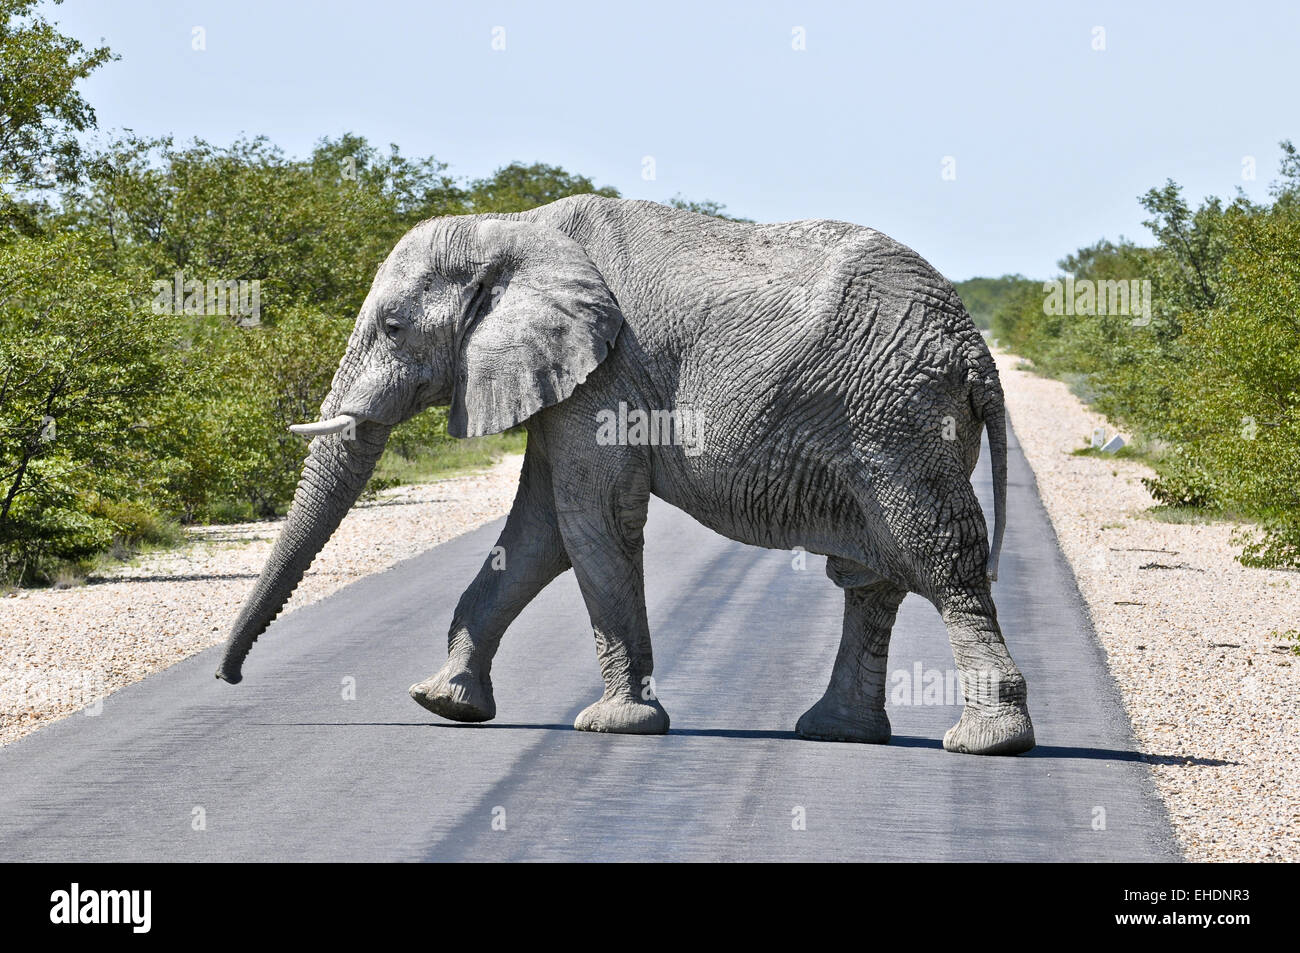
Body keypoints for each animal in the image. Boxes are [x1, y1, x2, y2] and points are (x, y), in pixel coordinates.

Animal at [215, 193, 1035, 757]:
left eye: (391, 327)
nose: (228, 680)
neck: (514, 228)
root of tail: (978, 351)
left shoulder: (605, 374)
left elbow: (592, 521)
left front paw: (615, 724)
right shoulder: (567, 381)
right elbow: (537, 534)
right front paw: (443, 703)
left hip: (898, 421)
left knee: (938, 558)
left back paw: (989, 741)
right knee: (873, 575)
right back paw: (837, 733)